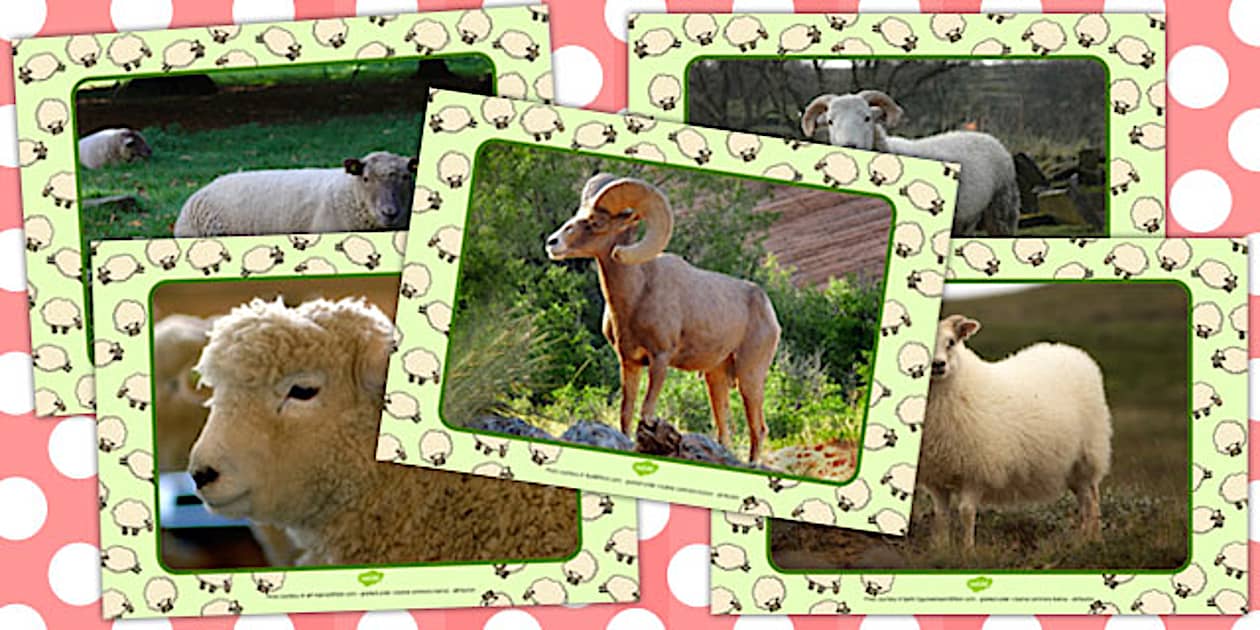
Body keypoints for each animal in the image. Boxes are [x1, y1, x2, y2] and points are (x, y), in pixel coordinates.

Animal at [546, 175, 781, 462]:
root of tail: (767, 308)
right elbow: (626, 414)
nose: (552, 242)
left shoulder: (660, 358)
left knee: (758, 429)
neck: (637, 296)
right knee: (724, 430)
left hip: (750, 378)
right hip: (716, 378)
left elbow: (645, 412)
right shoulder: (630, 362)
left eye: (596, 222)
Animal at [803, 90, 1019, 235]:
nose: (850, 146)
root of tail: (987, 136)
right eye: (830, 121)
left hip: (1002, 210)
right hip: (966, 219)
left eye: (867, 118)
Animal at [919, 315, 1112, 548]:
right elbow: (941, 514)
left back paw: (1094, 541)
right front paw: (940, 548)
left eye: (951, 342)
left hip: (1087, 456)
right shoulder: (936, 475)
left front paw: (967, 550)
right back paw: (1085, 540)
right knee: (1085, 501)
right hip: (1072, 468)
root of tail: (1074, 352)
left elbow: (966, 512)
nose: (938, 365)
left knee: (1091, 500)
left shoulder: (976, 469)